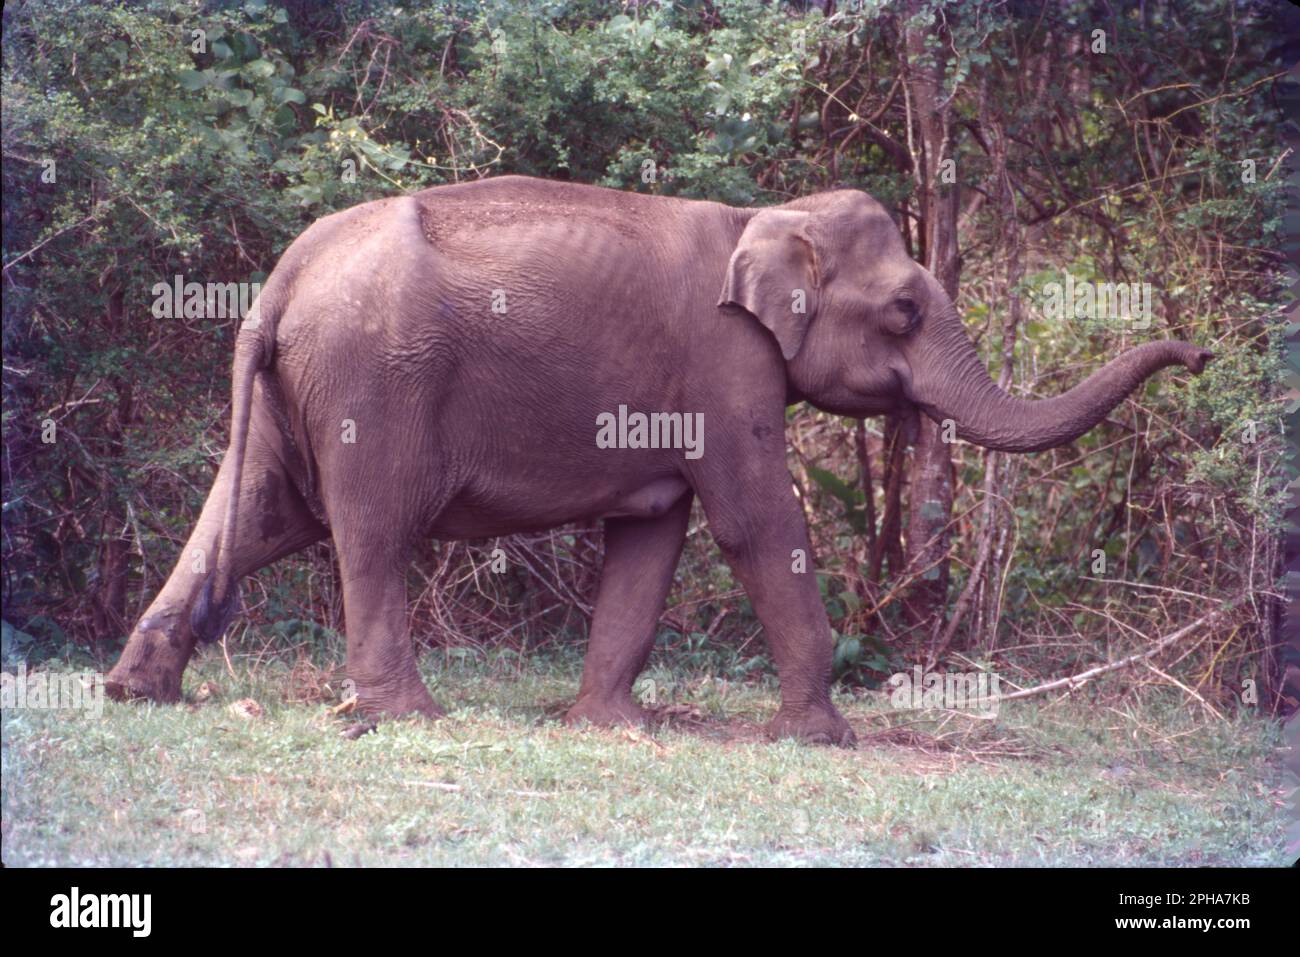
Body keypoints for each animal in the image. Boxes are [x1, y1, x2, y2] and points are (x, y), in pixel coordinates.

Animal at [105, 175, 1212, 745]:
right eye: (903, 309)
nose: (1200, 354)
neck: (766, 213)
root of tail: (283, 276)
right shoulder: (726, 368)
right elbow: (756, 523)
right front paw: (821, 737)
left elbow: (652, 534)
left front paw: (602, 721)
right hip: (373, 387)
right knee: (370, 531)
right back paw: (406, 716)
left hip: (299, 393)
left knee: (252, 517)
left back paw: (136, 692)